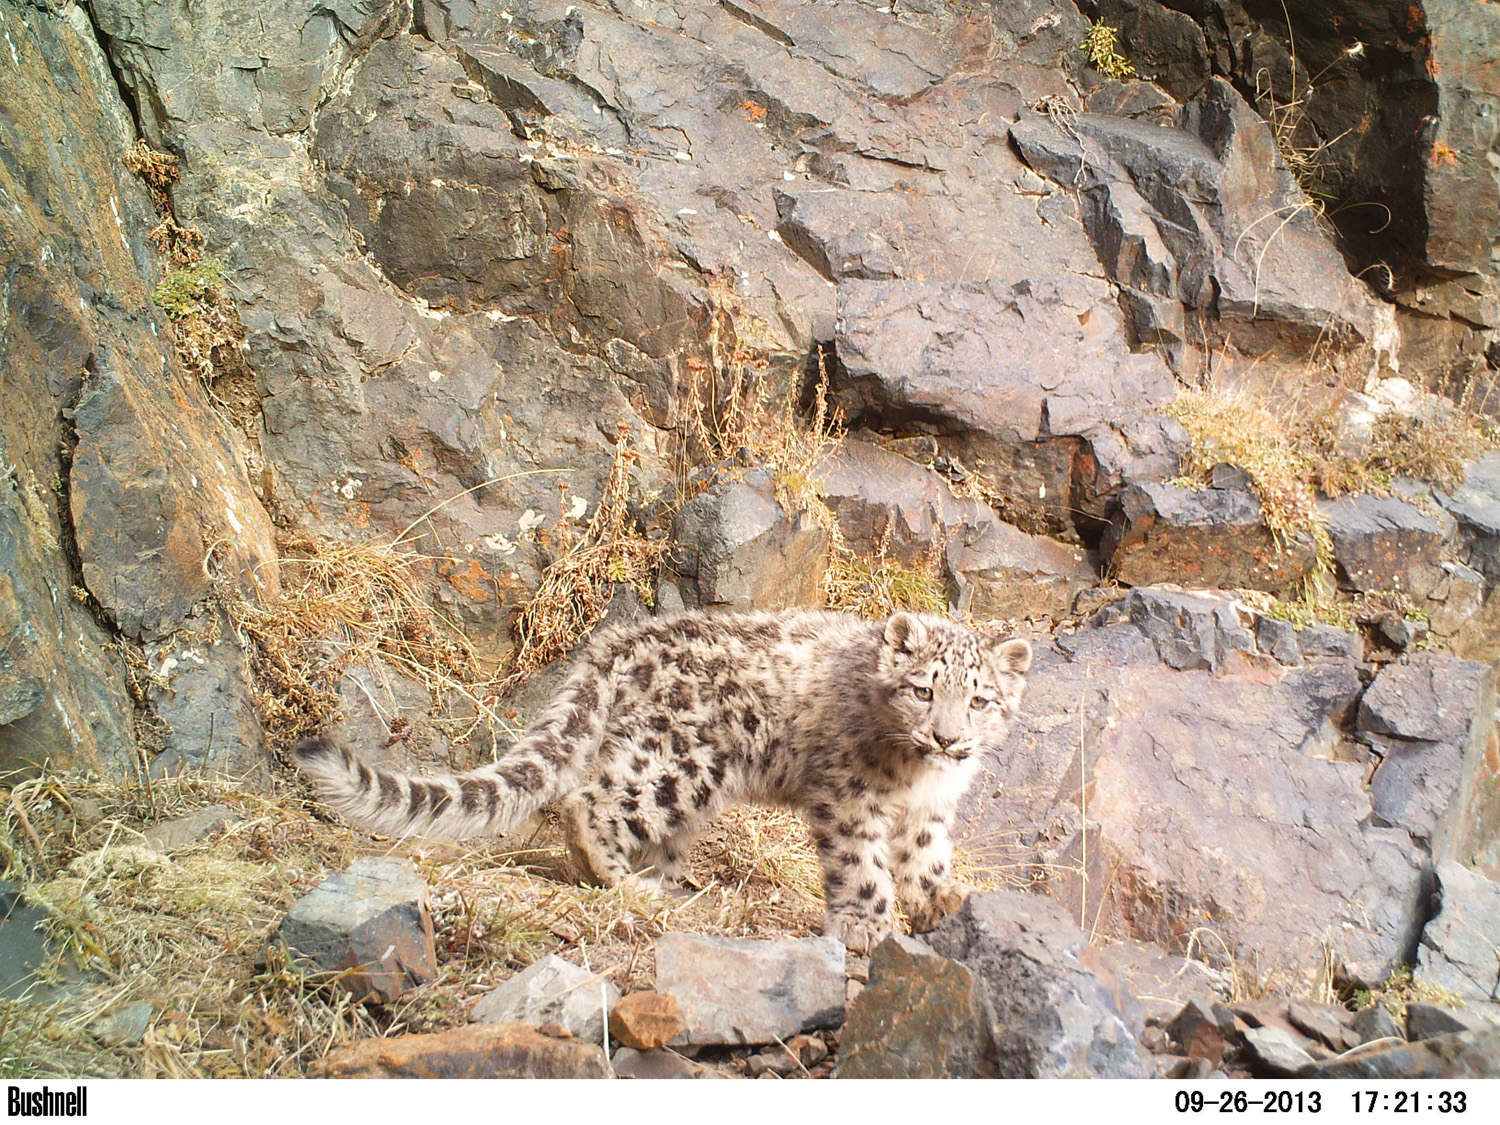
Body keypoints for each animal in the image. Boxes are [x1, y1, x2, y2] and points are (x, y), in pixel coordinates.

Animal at [293, 608, 1032, 952]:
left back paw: (673, 886)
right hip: (680, 761)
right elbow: (863, 864)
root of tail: (625, 637)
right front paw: (866, 925)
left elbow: (925, 861)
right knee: (588, 799)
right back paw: (625, 881)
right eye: (922, 689)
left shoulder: (927, 814)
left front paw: (945, 901)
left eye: (979, 700)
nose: (947, 738)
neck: (917, 776)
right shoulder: (848, 795)